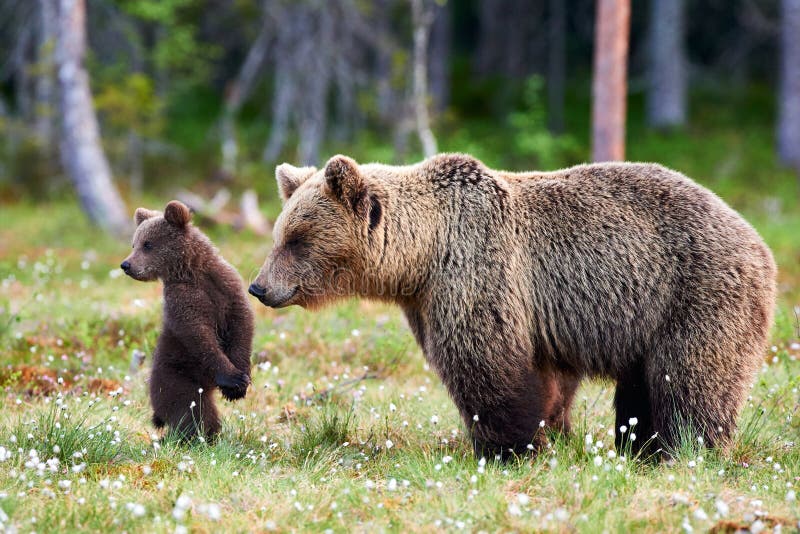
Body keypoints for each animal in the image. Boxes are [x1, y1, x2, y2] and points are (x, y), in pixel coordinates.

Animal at [121, 200, 254, 441]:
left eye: (147, 244)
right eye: (133, 244)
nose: (126, 265)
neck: (193, 271)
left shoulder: (227, 287)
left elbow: (242, 324)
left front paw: (241, 382)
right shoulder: (183, 300)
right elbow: (198, 334)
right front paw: (233, 380)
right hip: (176, 377)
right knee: (194, 410)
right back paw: (200, 436)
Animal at [249, 154, 777, 460]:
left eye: (297, 239)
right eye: (280, 234)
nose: (259, 286)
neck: (422, 256)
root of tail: (758, 241)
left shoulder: (477, 273)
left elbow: (486, 364)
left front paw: (508, 447)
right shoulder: (429, 301)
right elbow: (547, 380)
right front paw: (551, 432)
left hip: (694, 295)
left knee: (689, 379)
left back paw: (684, 448)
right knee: (643, 386)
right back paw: (639, 447)